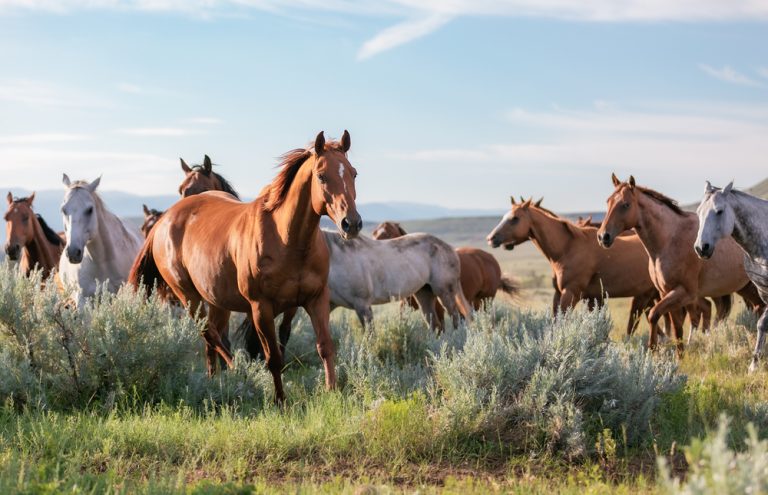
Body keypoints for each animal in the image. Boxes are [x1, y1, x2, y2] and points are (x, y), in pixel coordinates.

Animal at [129, 131, 362, 402]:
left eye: (353, 173)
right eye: (321, 176)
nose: (351, 223)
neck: (287, 240)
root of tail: (164, 220)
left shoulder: (315, 299)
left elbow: (324, 346)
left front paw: (332, 392)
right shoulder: (260, 308)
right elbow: (272, 357)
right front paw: (280, 401)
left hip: (216, 301)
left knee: (211, 340)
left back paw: (214, 380)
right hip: (188, 297)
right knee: (209, 334)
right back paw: (239, 373)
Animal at [486, 196, 662, 336]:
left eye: (515, 218)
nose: (491, 238)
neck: (568, 248)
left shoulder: (571, 293)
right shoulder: (581, 297)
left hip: (646, 296)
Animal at [597, 174, 763, 355]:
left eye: (625, 204)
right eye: (608, 201)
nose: (603, 236)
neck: (669, 240)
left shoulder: (684, 293)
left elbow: (654, 315)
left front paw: (653, 350)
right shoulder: (666, 293)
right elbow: (677, 329)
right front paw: (679, 357)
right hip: (746, 288)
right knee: (757, 308)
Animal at [694, 181, 768, 372]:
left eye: (719, 211)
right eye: (698, 212)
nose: (701, 248)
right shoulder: (764, 293)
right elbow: (762, 324)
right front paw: (753, 365)